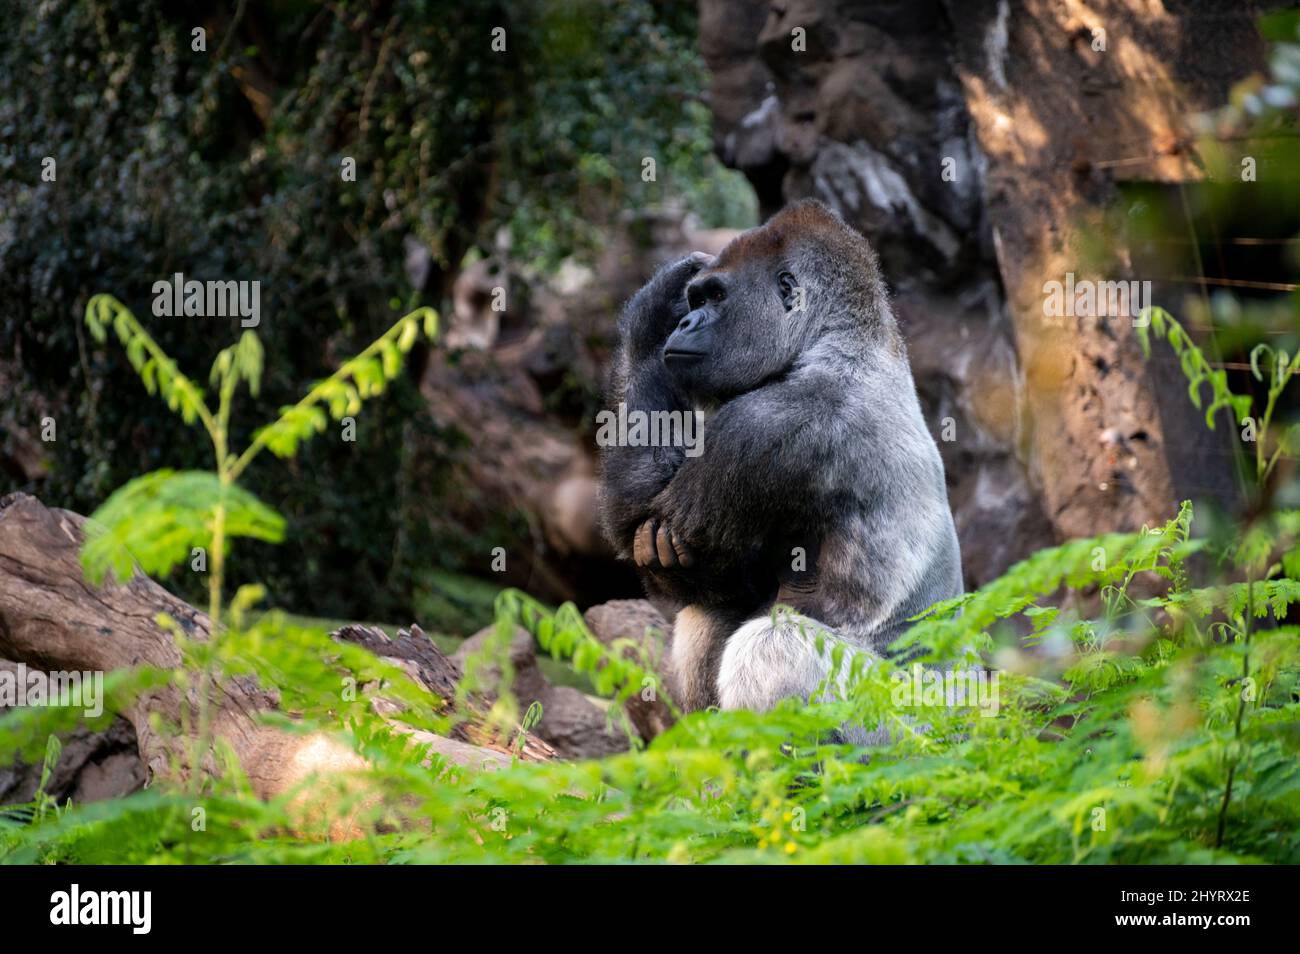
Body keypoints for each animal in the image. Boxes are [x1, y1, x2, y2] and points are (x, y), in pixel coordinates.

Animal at [599, 199, 963, 730]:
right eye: (696, 299)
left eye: (716, 297)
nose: (685, 324)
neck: (840, 339)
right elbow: (715, 576)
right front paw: (656, 302)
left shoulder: (765, 423)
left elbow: (641, 520)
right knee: (713, 611)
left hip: (916, 724)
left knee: (772, 643)